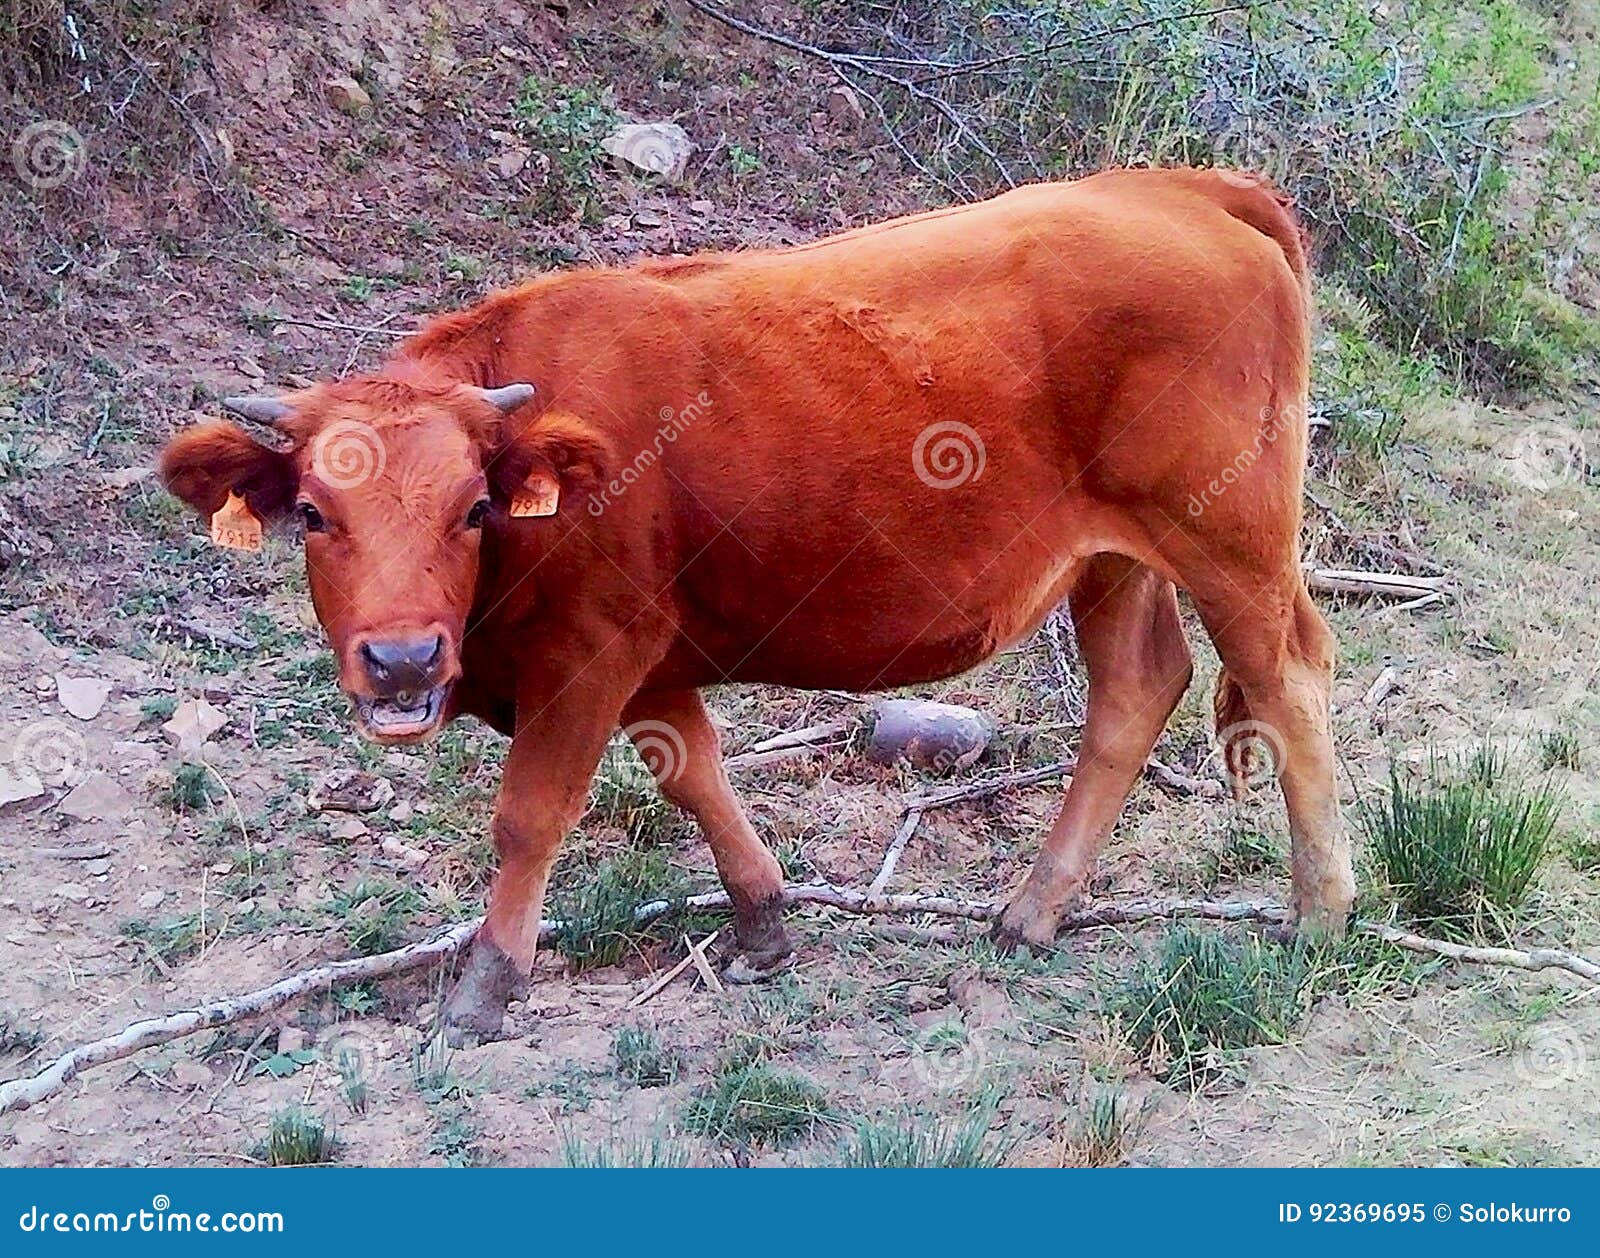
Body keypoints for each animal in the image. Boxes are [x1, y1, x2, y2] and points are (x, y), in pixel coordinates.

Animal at [160, 167, 1355, 1044]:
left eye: (471, 509)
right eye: (314, 513)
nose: (404, 661)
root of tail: (1182, 186)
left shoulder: (588, 653)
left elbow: (530, 815)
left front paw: (487, 985)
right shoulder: (651, 654)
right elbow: (693, 772)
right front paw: (764, 919)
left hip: (1230, 540)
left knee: (1289, 675)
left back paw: (1322, 911)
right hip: (1114, 560)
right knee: (1136, 690)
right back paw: (1031, 912)